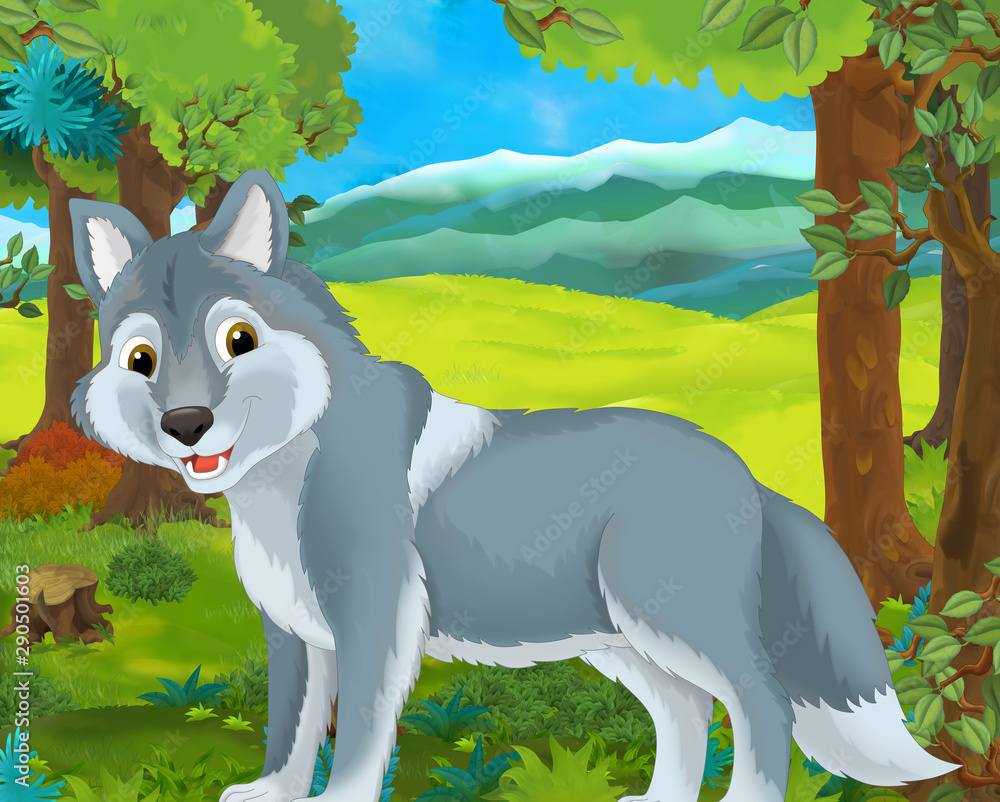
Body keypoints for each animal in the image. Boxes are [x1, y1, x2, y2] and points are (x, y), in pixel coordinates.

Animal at [68, 169, 956, 802]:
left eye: (238, 341)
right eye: (141, 359)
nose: (186, 424)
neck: (285, 477)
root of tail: (747, 472)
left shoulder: (372, 624)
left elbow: (357, 738)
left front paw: (336, 801)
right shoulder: (293, 631)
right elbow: (289, 730)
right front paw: (271, 794)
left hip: (673, 626)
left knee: (761, 709)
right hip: (626, 647)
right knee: (689, 715)